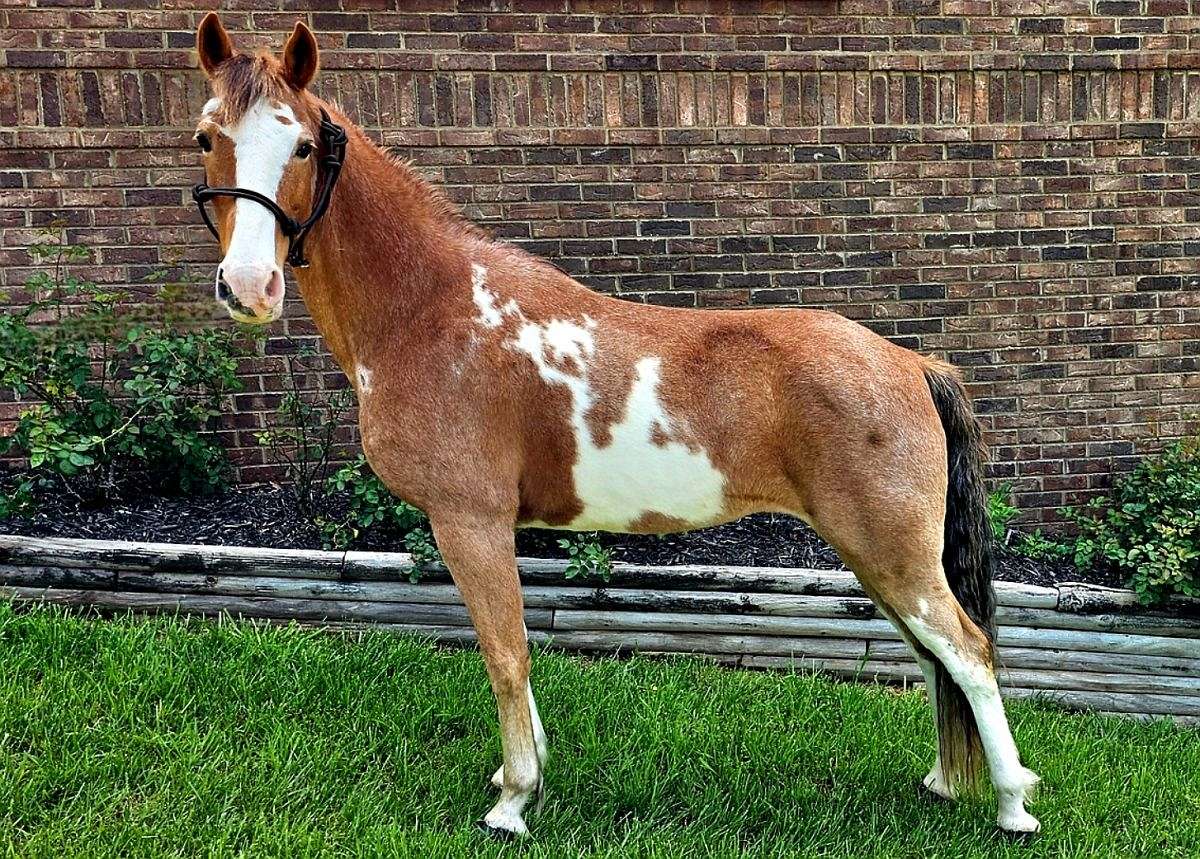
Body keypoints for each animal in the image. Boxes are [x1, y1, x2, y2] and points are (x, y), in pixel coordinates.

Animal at [189, 14, 1040, 838]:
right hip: (877, 556)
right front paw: (524, 772)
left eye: (301, 143)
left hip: (893, 553)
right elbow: (516, 651)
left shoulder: (468, 520)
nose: (248, 286)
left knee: (967, 651)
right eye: (206, 136)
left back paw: (1012, 806)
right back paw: (943, 781)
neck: (431, 308)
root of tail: (911, 363)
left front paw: (512, 802)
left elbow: (506, 654)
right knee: (933, 657)